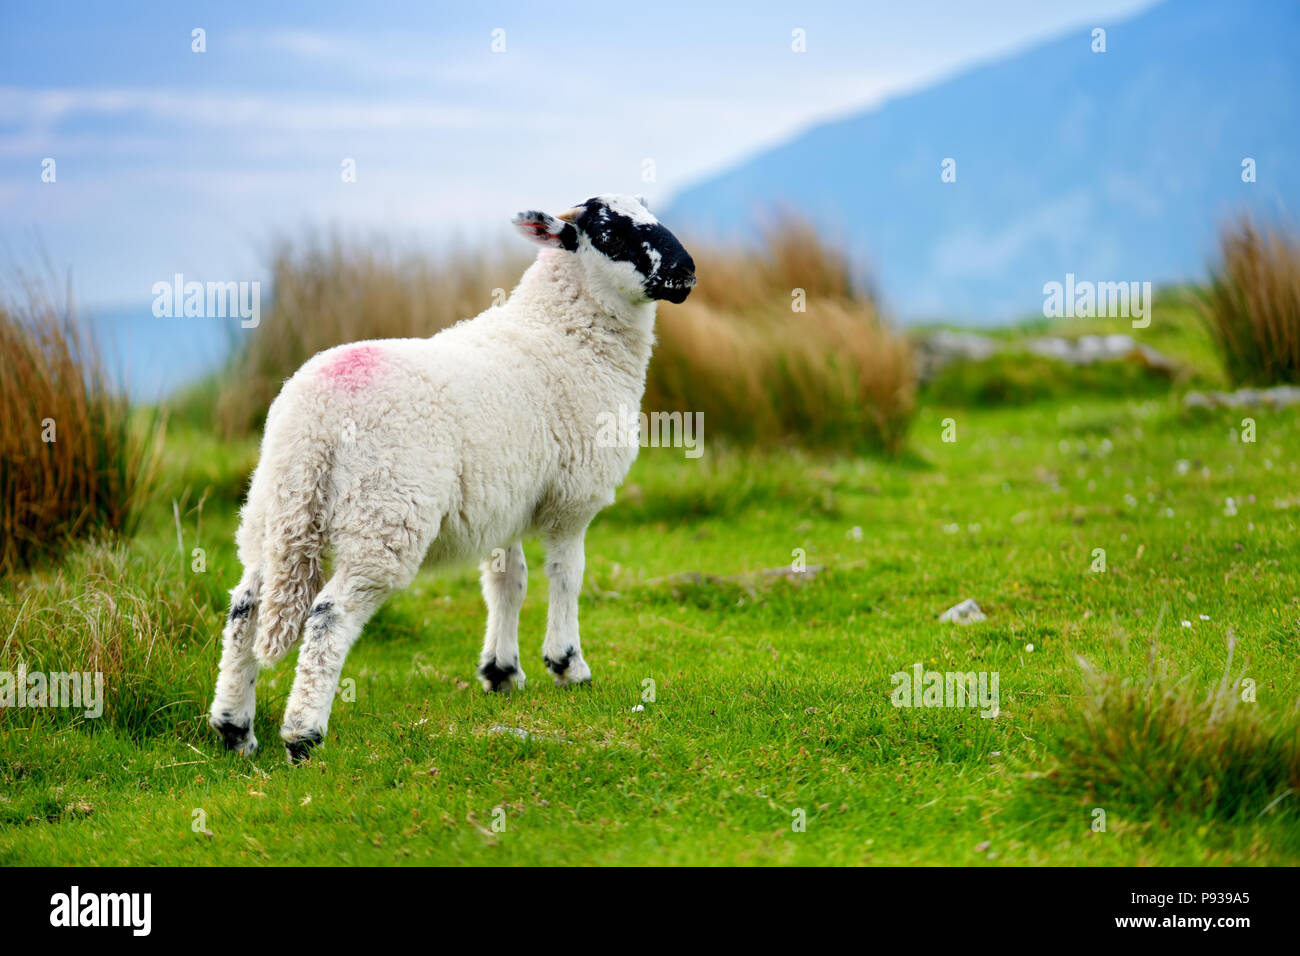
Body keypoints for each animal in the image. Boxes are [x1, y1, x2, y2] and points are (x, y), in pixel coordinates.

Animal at [208, 194, 697, 762]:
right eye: (611, 234)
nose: (688, 272)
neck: (563, 332)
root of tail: (315, 417)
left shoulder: (505, 500)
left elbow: (508, 581)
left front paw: (501, 672)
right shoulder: (572, 499)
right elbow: (566, 575)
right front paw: (568, 665)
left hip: (276, 509)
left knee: (246, 606)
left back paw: (235, 729)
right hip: (384, 513)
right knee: (329, 614)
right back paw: (303, 736)